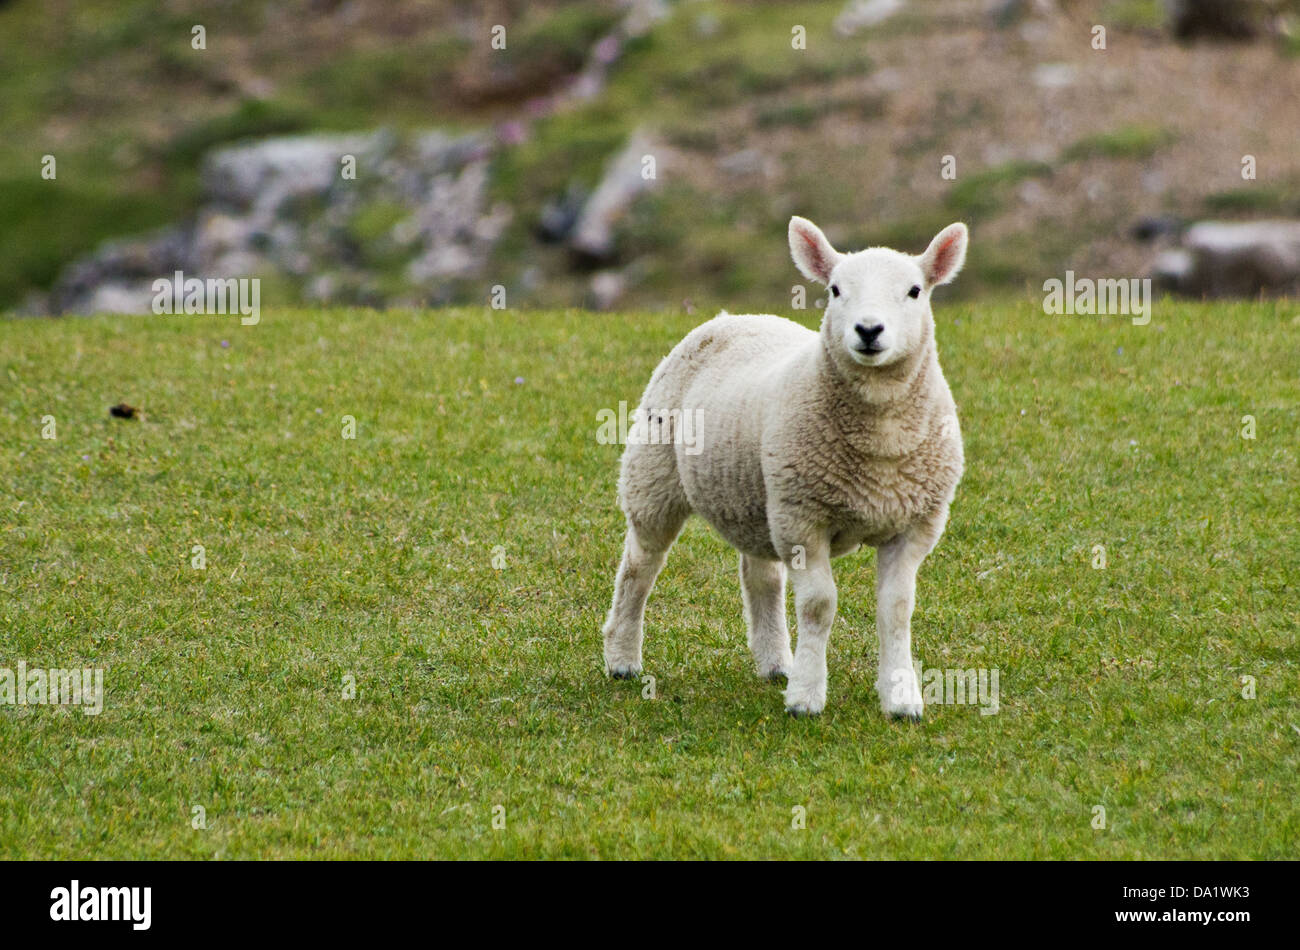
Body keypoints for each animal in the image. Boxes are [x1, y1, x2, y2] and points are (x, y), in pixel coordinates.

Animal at [602, 216, 968, 718]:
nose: (868, 330)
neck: (881, 444)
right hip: (655, 477)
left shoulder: (914, 525)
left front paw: (901, 698)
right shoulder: (803, 520)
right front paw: (806, 698)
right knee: (640, 566)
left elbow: (896, 609)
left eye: (915, 291)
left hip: (756, 495)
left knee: (760, 576)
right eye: (835, 289)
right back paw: (622, 657)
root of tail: (732, 317)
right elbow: (818, 605)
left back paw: (775, 662)